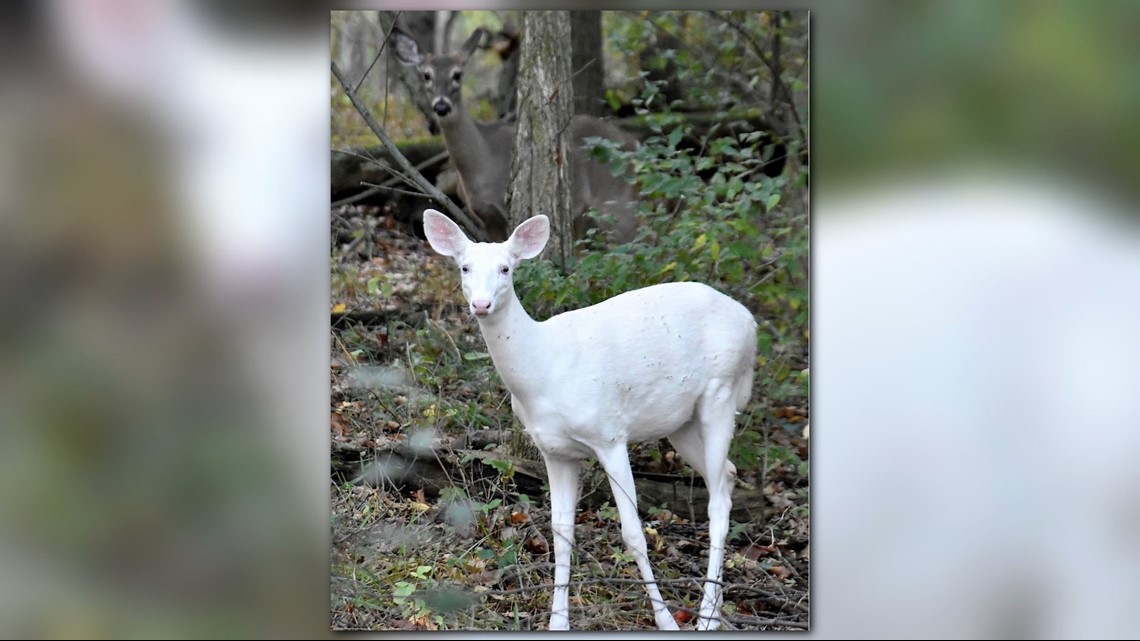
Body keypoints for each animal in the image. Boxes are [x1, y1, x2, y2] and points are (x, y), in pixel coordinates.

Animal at [393, 27, 642, 245]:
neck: (482, 164)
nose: (441, 106)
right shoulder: (485, 215)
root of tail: (634, 143)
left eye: (457, 74)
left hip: (616, 202)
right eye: (426, 75)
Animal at [421, 208, 758, 630]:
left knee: (717, 502)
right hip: (681, 423)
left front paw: (666, 622)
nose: (481, 304)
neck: (543, 371)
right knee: (727, 475)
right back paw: (715, 605)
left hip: (721, 392)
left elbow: (633, 534)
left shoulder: (609, 434)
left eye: (506, 268)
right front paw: (557, 623)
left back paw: (707, 617)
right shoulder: (555, 451)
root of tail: (751, 322)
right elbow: (561, 532)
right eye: (464, 267)